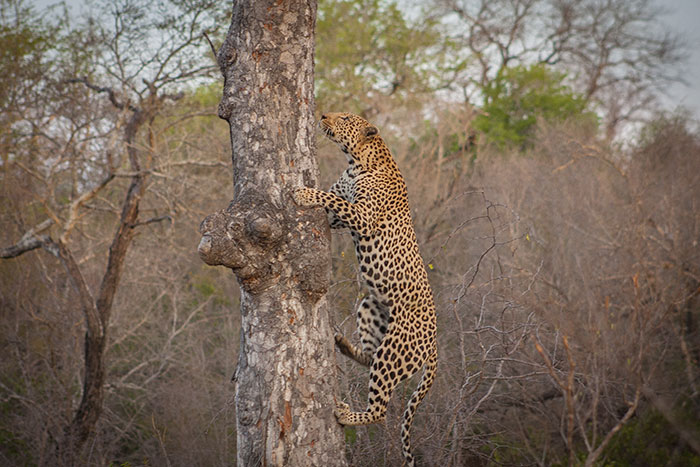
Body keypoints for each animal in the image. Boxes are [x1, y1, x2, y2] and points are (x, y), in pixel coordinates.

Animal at [293, 112, 437, 467]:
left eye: (345, 118)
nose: (323, 114)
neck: (356, 161)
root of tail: (435, 342)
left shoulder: (361, 216)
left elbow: (329, 197)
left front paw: (303, 193)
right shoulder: (337, 217)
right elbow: (333, 198)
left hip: (396, 348)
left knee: (381, 407)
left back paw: (348, 415)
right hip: (370, 307)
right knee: (370, 355)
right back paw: (344, 344)